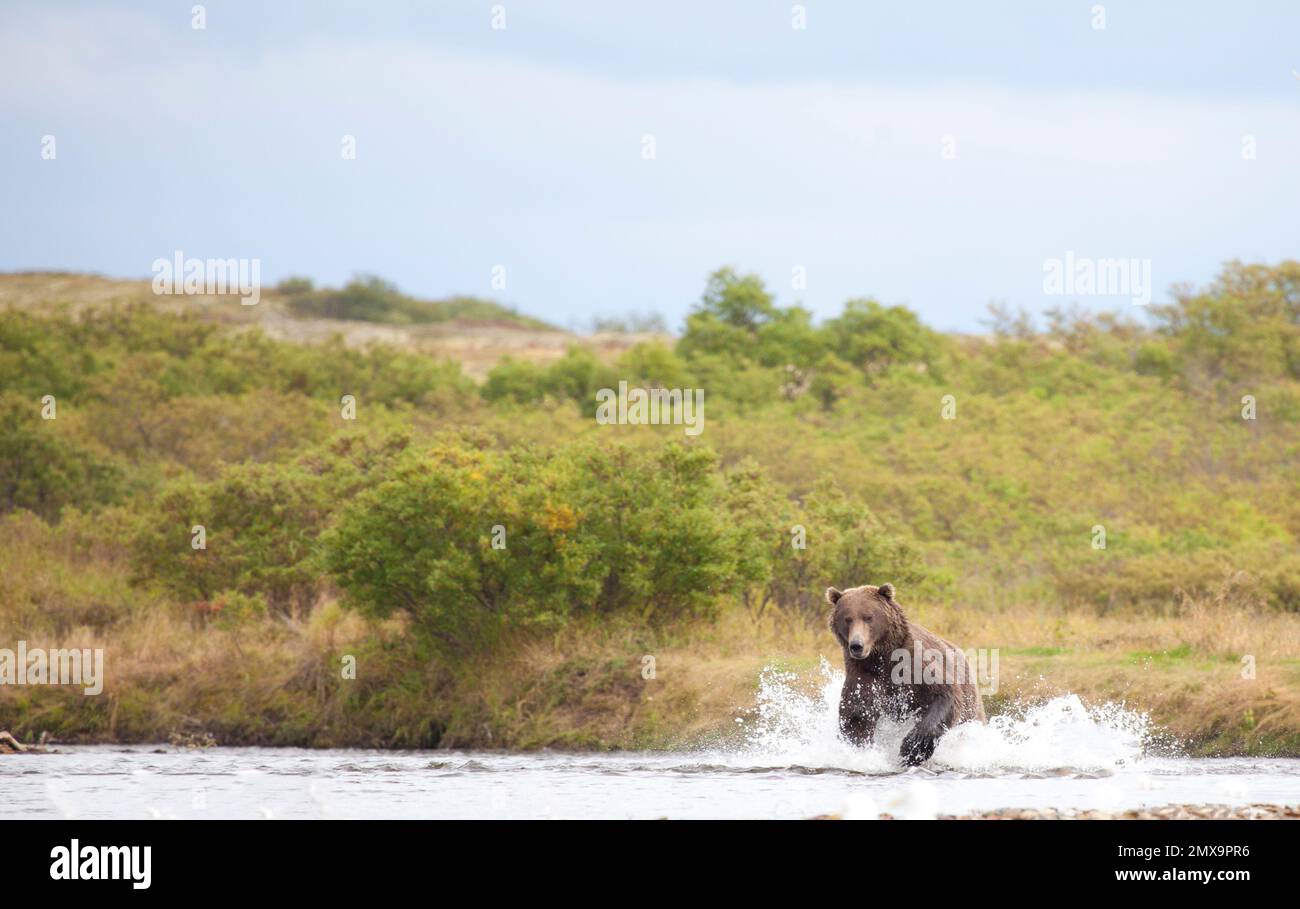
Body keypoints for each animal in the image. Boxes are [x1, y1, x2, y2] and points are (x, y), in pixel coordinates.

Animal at [827, 583, 985, 766]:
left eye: (868, 617)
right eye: (847, 619)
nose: (856, 645)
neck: (882, 658)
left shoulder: (914, 666)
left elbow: (945, 694)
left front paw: (911, 749)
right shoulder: (864, 676)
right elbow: (857, 716)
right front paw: (860, 751)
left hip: (971, 704)